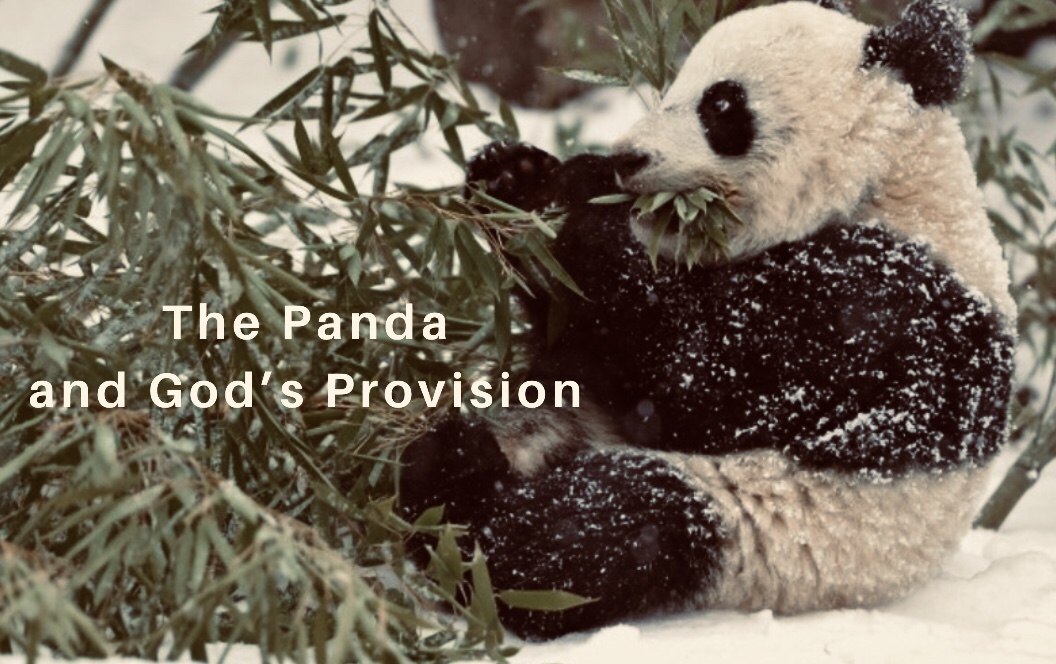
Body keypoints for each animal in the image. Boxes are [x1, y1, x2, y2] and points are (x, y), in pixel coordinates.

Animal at [399, 0, 1016, 641]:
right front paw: (513, 174)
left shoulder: (883, 305)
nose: (626, 158)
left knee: (613, 529)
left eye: (720, 106)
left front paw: (561, 192)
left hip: (762, 524)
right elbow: (581, 337)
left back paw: (455, 490)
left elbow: (700, 374)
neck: (891, 182)